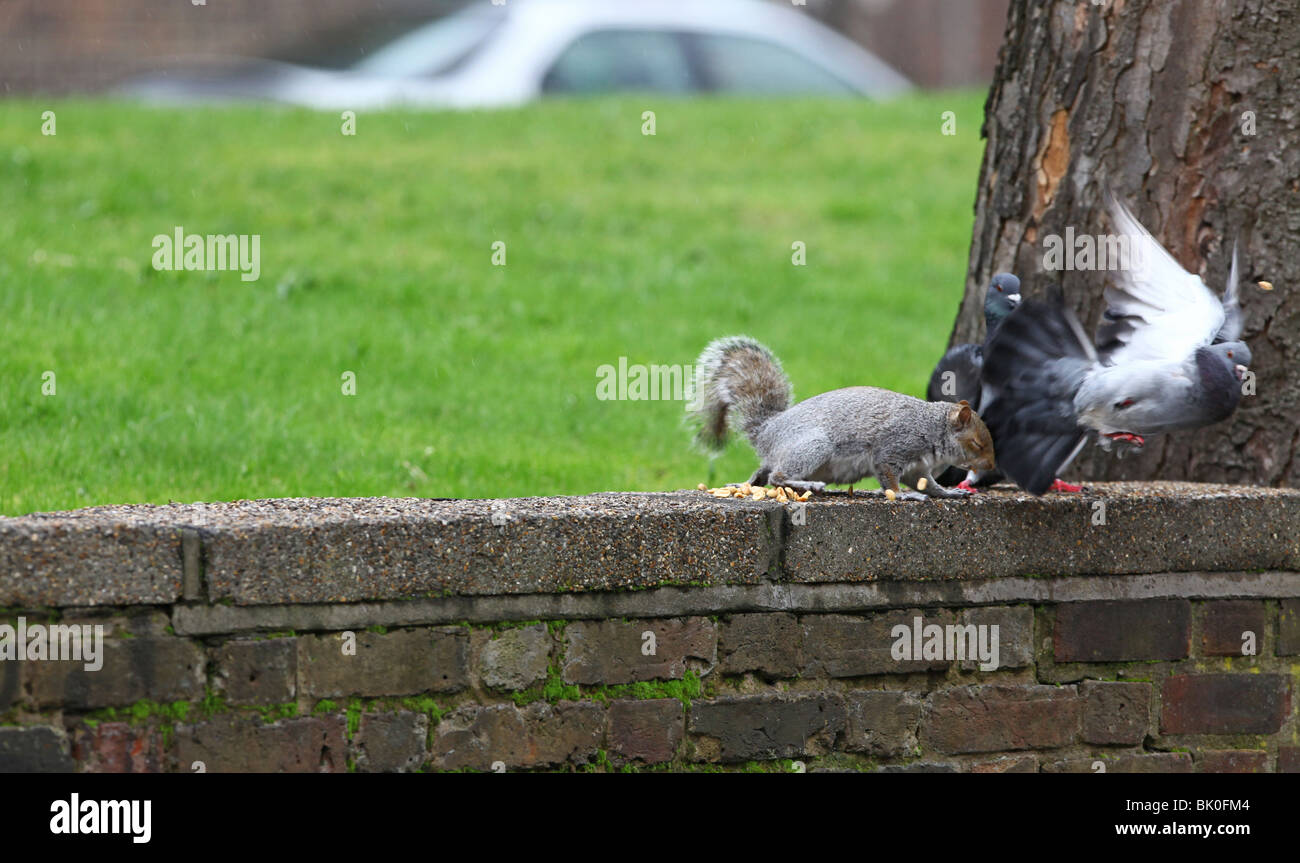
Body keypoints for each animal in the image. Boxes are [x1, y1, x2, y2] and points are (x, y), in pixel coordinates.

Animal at [687, 336, 996, 501]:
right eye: (977, 444)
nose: (992, 466)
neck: (931, 428)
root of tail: (767, 431)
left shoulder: (917, 467)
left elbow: (928, 484)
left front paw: (948, 493)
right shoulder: (894, 448)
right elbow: (890, 479)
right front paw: (905, 495)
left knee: (765, 472)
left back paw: (748, 484)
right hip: (813, 446)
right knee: (778, 476)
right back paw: (806, 484)